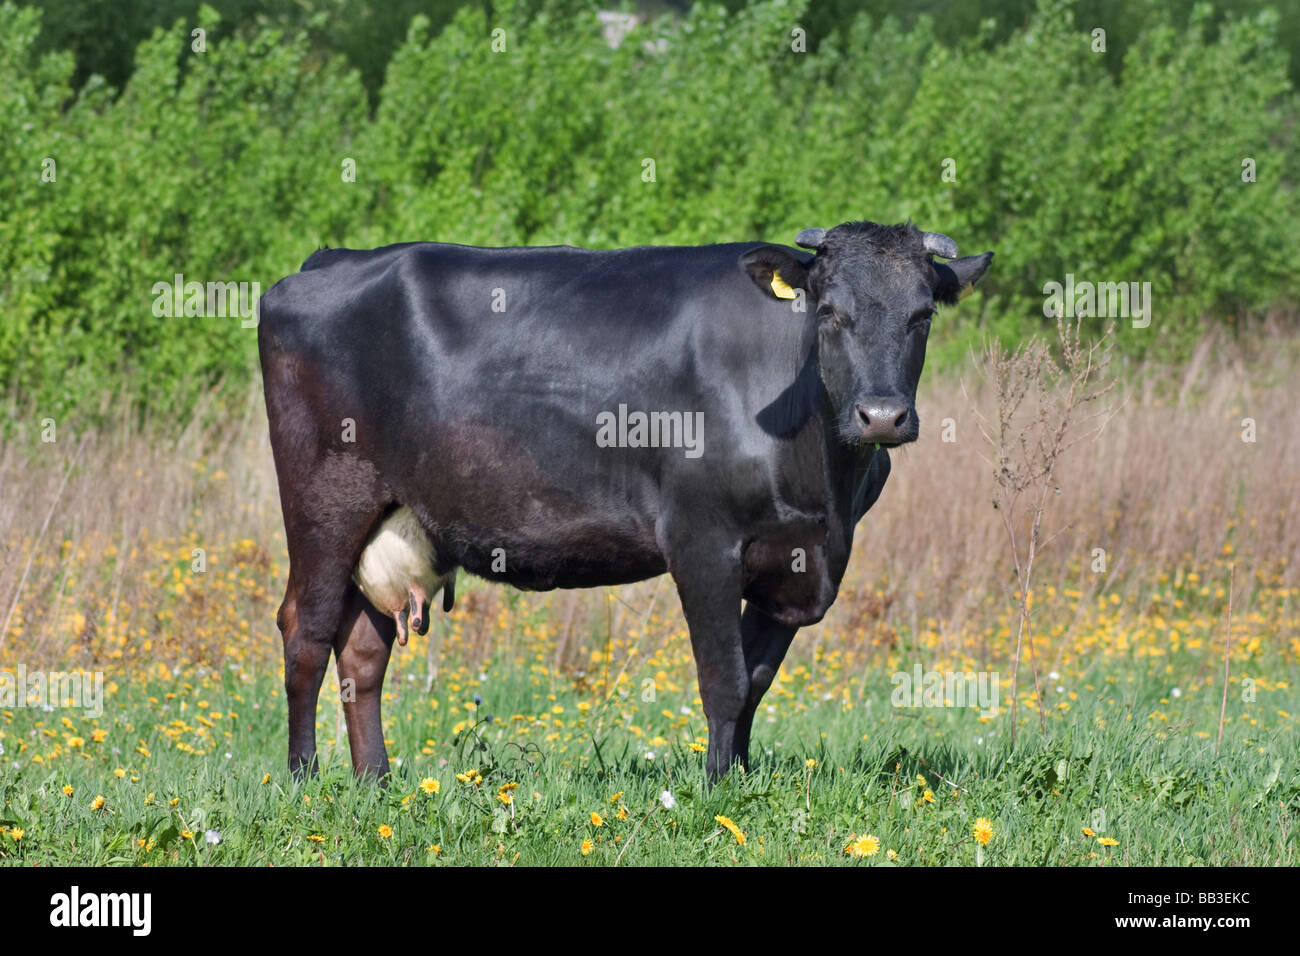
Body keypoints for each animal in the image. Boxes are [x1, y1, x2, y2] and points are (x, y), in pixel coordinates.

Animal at [257, 220, 993, 783]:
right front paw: (717, 789)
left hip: (391, 520)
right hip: (324, 501)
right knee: (306, 633)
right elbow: (724, 677)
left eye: (923, 314)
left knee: (362, 653)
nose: (881, 416)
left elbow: (756, 679)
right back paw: (304, 780)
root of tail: (329, 260)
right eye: (829, 311)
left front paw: (742, 777)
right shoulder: (702, 539)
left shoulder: (799, 558)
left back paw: (375, 782)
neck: (824, 484)